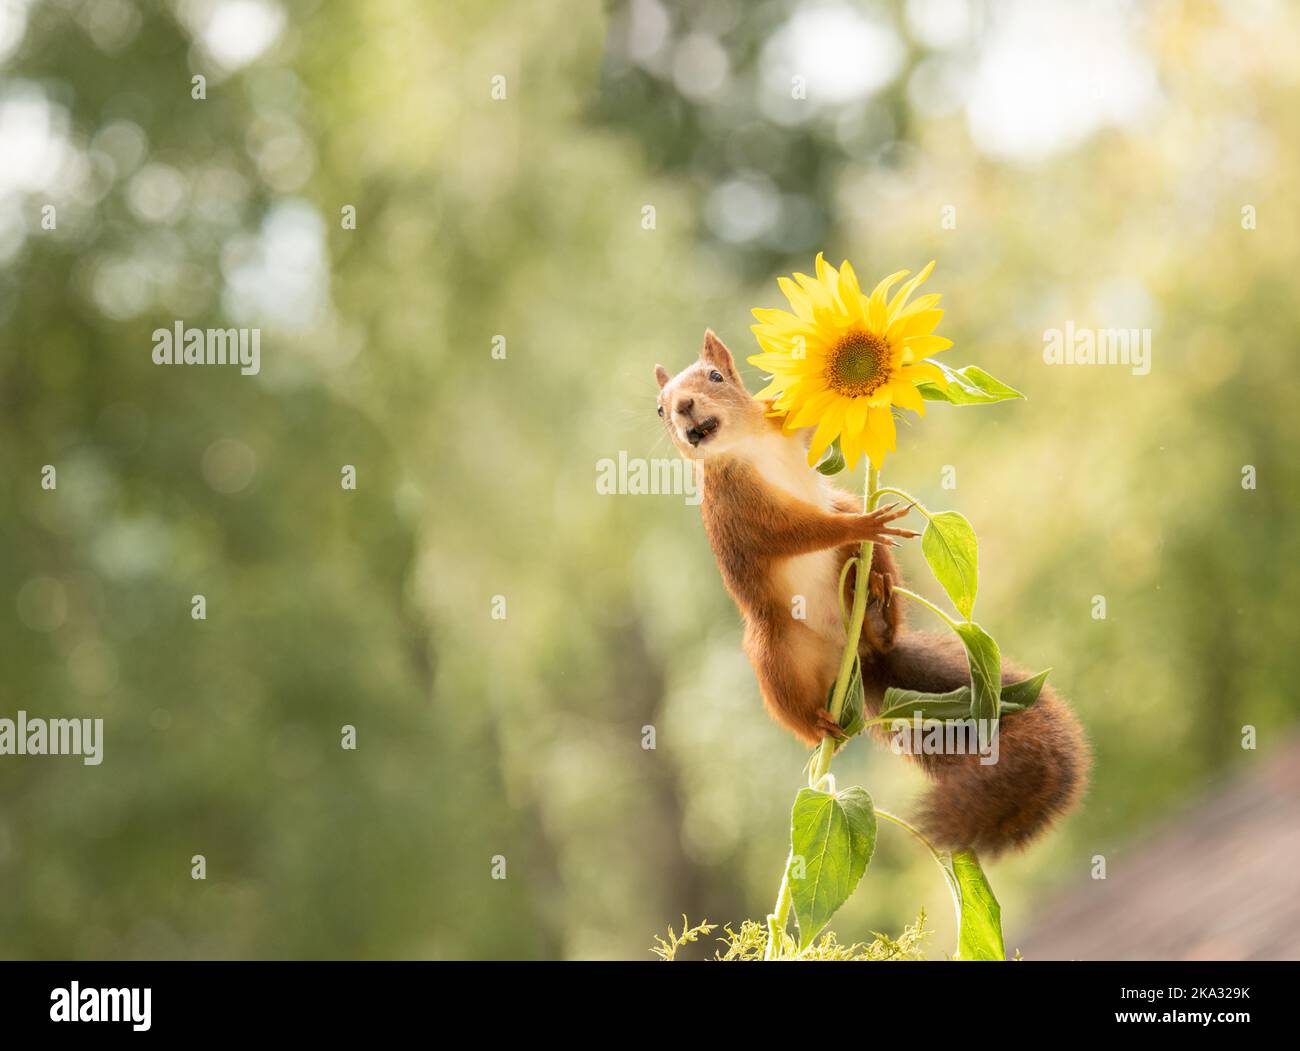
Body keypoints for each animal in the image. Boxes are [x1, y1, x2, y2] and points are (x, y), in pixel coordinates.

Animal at [654, 330, 1089, 857]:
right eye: (659, 409)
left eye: (716, 377)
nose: (683, 407)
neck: (748, 443)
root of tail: (855, 655)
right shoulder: (739, 510)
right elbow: (791, 533)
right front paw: (861, 523)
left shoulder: (793, 430)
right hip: (773, 651)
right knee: (794, 709)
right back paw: (820, 726)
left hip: (862, 565)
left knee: (872, 585)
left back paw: (879, 613)